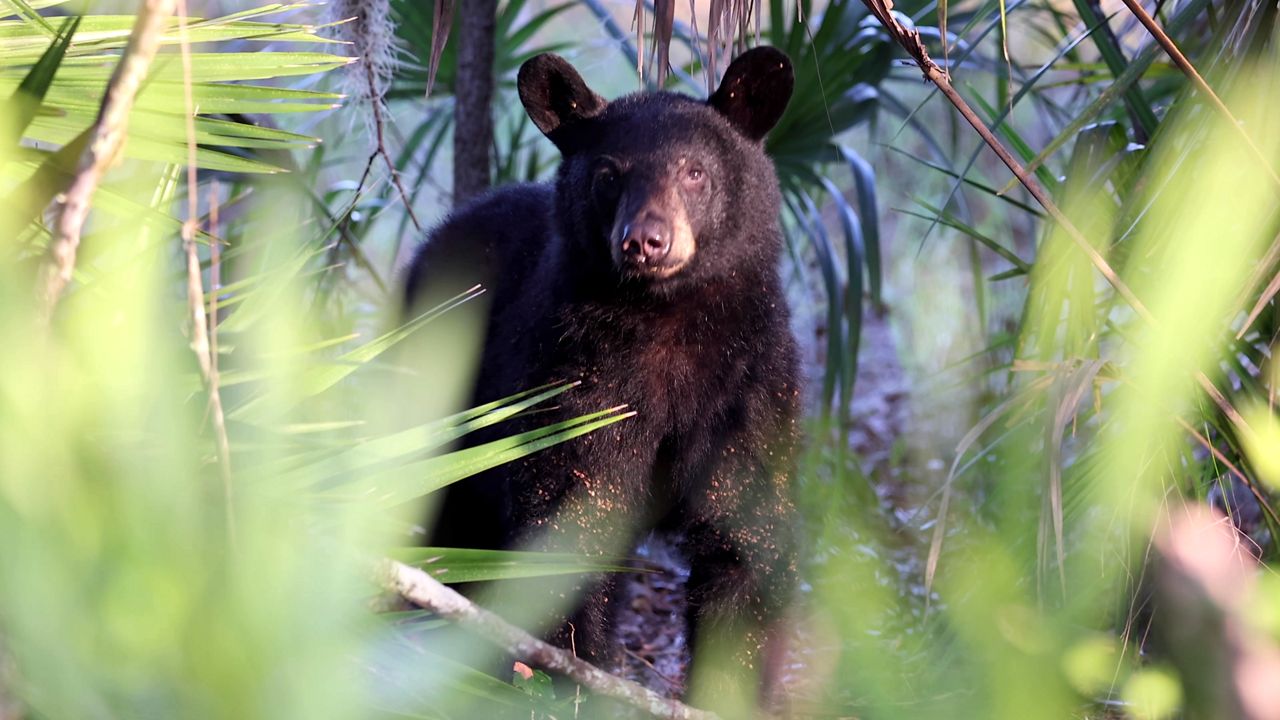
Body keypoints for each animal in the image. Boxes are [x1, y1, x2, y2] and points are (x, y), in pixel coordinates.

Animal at [403, 47, 801, 706]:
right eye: (609, 174)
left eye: (695, 171)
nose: (645, 241)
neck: (666, 326)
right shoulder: (576, 380)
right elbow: (573, 521)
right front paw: (570, 683)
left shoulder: (750, 388)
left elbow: (743, 538)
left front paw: (724, 694)